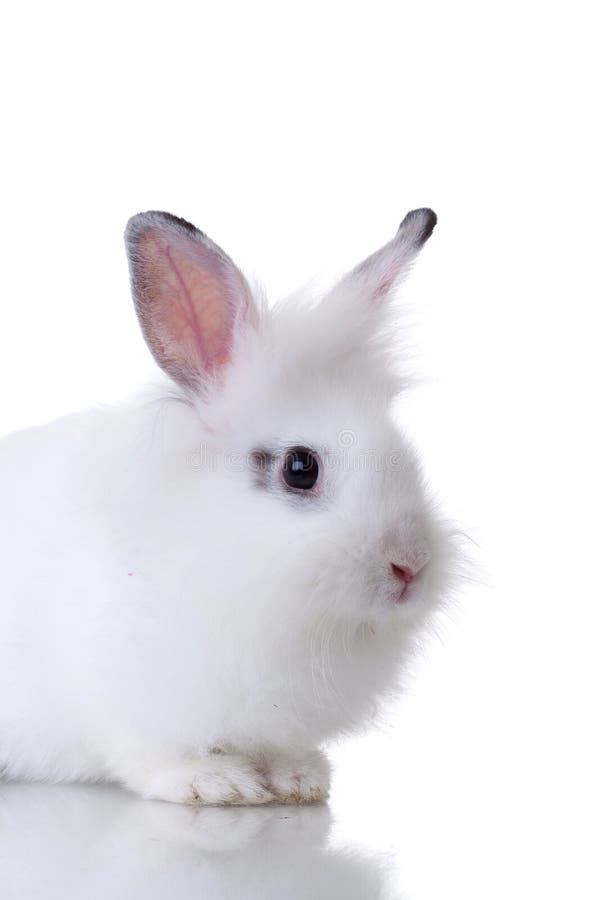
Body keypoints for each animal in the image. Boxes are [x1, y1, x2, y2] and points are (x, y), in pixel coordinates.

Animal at [0, 207, 455, 805]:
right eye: (300, 468)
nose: (411, 565)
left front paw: (299, 778)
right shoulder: (123, 694)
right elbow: (147, 755)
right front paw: (217, 784)